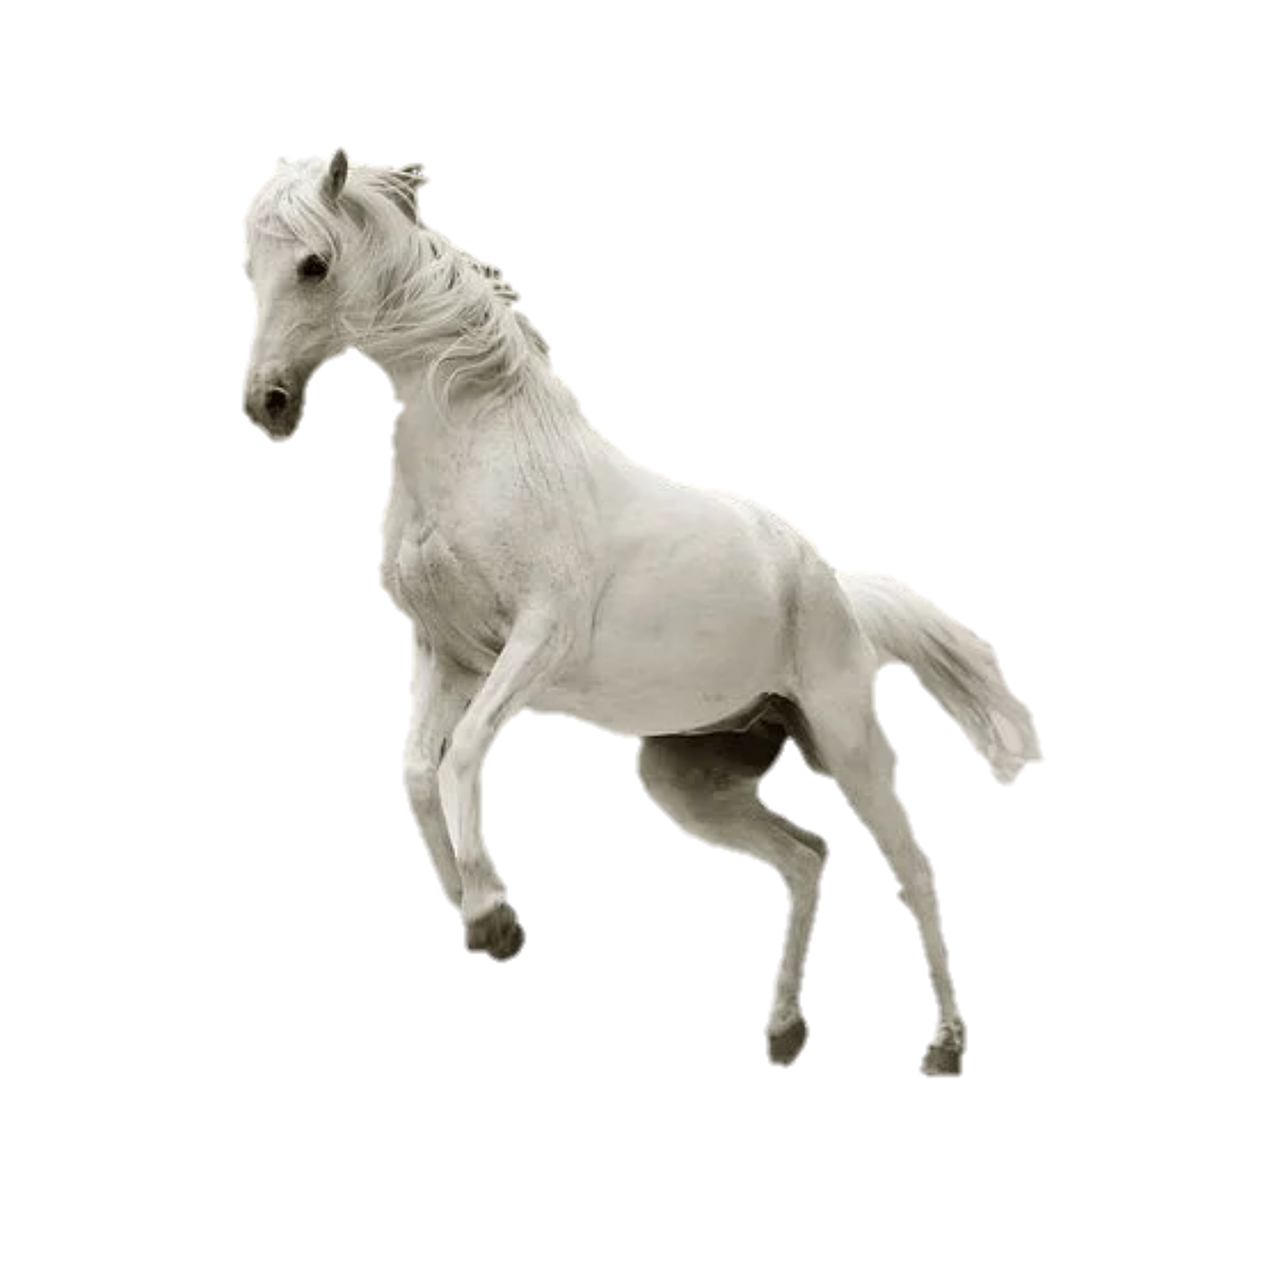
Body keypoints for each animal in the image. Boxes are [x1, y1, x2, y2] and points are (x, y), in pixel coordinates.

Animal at [240, 148, 1044, 1077]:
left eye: (313, 265)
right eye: (250, 266)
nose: (266, 406)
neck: (487, 448)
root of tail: (835, 585)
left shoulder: (535, 645)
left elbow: (461, 754)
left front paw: (495, 914)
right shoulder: (444, 652)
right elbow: (412, 768)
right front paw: (470, 909)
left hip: (848, 744)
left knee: (913, 870)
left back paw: (944, 1045)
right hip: (684, 776)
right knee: (806, 859)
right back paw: (784, 1030)